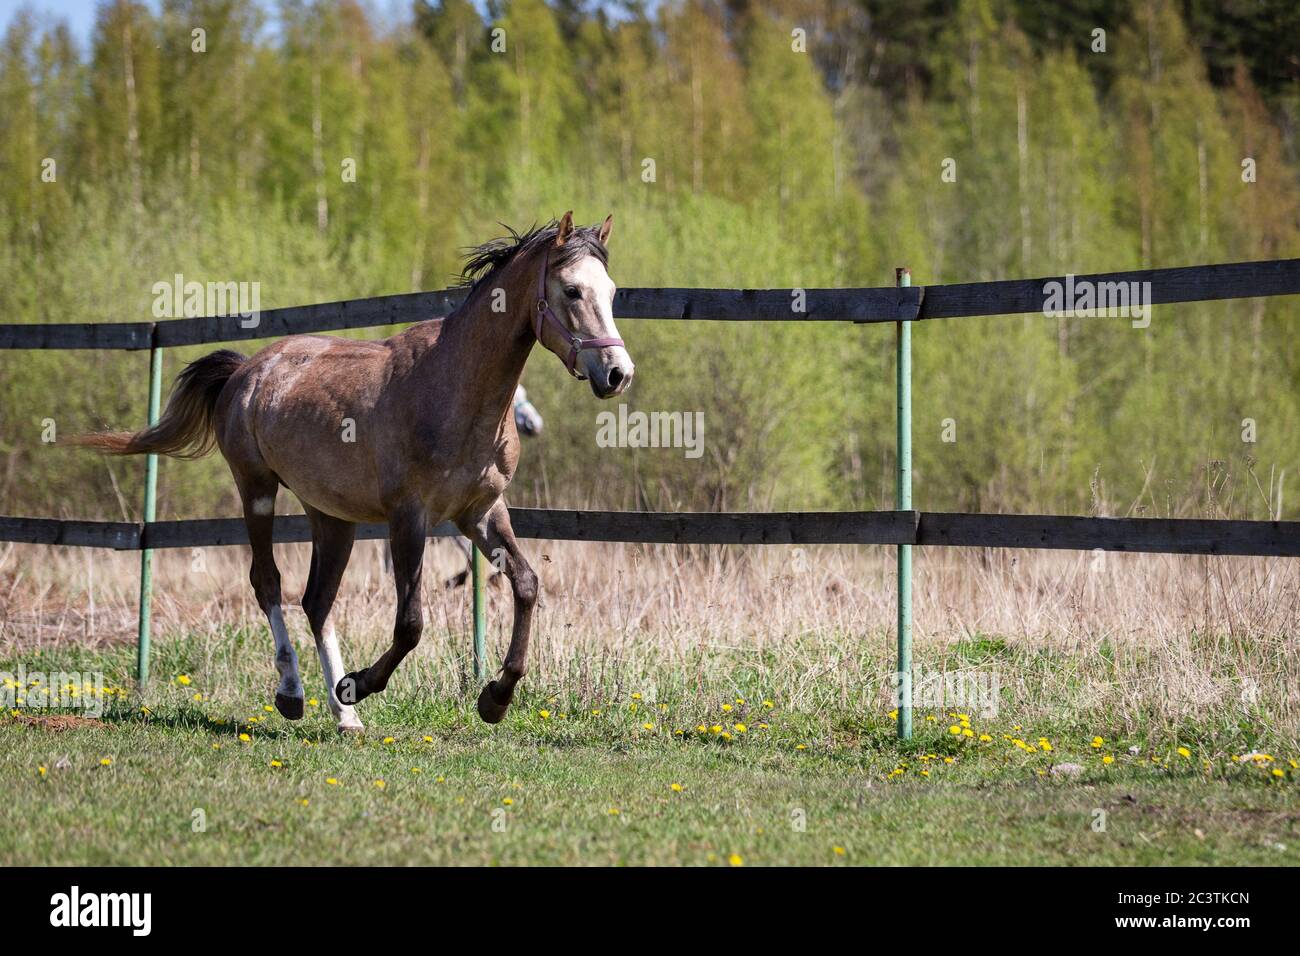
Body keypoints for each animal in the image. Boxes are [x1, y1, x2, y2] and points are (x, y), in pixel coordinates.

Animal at [76, 212, 632, 733]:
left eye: (611, 291)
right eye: (572, 289)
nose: (618, 374)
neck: (454, 389)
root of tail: (245, 371)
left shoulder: (481, 512)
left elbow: (526, 585)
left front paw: (495, 698)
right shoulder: (409, 517)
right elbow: (410, 624)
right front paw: (360, 683)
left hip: (332, 517)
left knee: (317, 601)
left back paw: (344, 715)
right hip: (256, 489)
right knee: (268, 583)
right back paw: (295, 694)